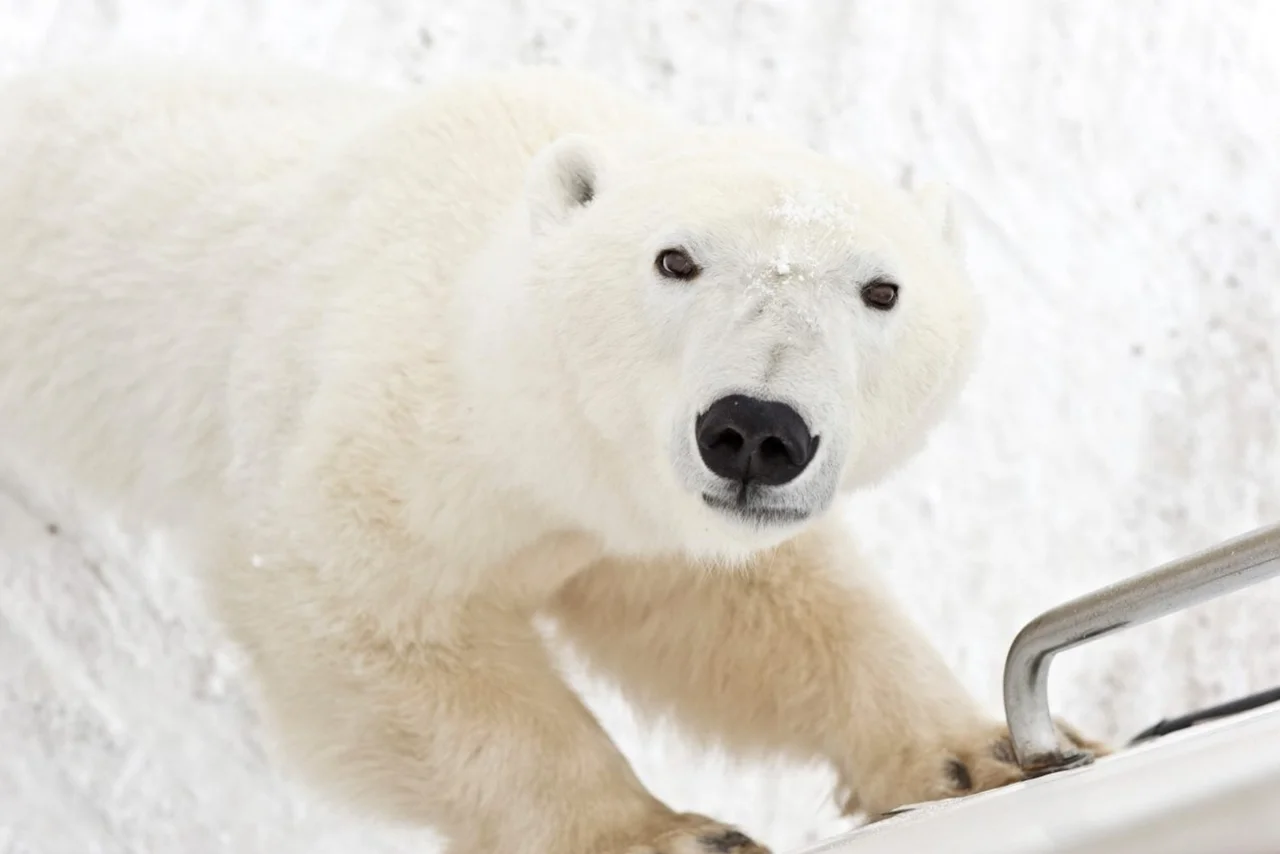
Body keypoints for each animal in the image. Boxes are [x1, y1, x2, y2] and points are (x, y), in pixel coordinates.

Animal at [0, 61, 1105, 853]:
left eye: (882, 289)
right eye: (674, 258)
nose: (755, 428)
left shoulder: (648, 517)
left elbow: (760, 613)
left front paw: (986, 751)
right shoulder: (393, 431)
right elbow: (371, 617)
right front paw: (663, 833)